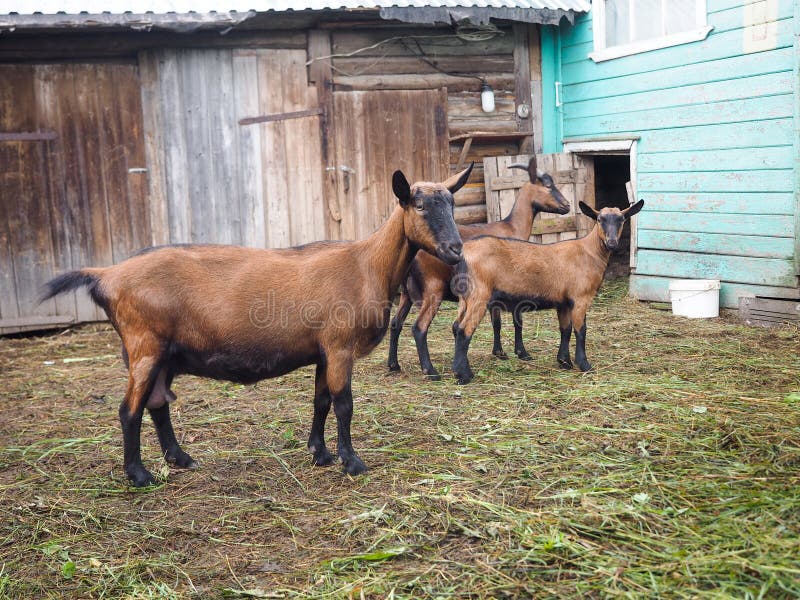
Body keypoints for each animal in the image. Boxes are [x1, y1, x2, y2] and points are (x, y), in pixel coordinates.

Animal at [41, 165, 472, 487]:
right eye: (419, 204)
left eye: (452, 203)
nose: (455, 249)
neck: (366, 264)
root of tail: (106, 275)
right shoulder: (339, 346)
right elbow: (344, 404)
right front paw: (351, 461)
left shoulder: (322, 350)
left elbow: (320, 401)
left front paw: (320, 453)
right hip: (144, 344)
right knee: (129, 409)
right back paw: (139, 475)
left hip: (162, 352)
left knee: (157, 403)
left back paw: (180, 458)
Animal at [387, 155, 570, 380]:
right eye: (548, 185)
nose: (567, 206)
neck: (511, 227)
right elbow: (516, 319)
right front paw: (520, 352)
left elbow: (495, 323)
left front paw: (499, 352)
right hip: (433, 290)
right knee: (419, 328)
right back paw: (431, 371)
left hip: (406, 294)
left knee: (395, 324)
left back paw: (393, 365)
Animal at [451, 199, 645, 384]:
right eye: (599, 219)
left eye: (621, 219)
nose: (612, 242)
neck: (589, 252)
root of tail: (464, 253)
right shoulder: (580, 298)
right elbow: (581, 330)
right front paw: (584, 365)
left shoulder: (564, 303)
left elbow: (565, 330)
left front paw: (564, 362)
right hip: (479, 295)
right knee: (464, 330)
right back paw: (464, 375)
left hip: (466, 298)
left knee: (455, 326)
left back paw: (457, 369)